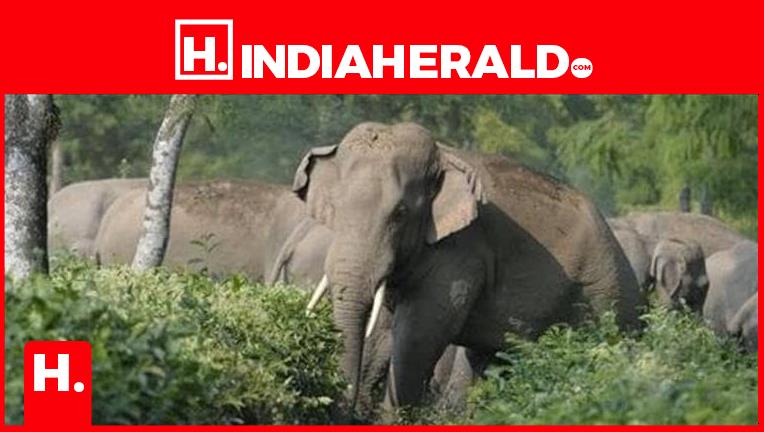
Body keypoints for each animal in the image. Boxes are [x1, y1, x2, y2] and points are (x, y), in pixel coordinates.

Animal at [291, 122, 645, 410]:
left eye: (400, 214)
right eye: (335, 207)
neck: (442, 155)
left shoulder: (461, 250)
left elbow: (418, 334)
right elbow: (385, 331)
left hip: (604, 299)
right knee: (488, 362)